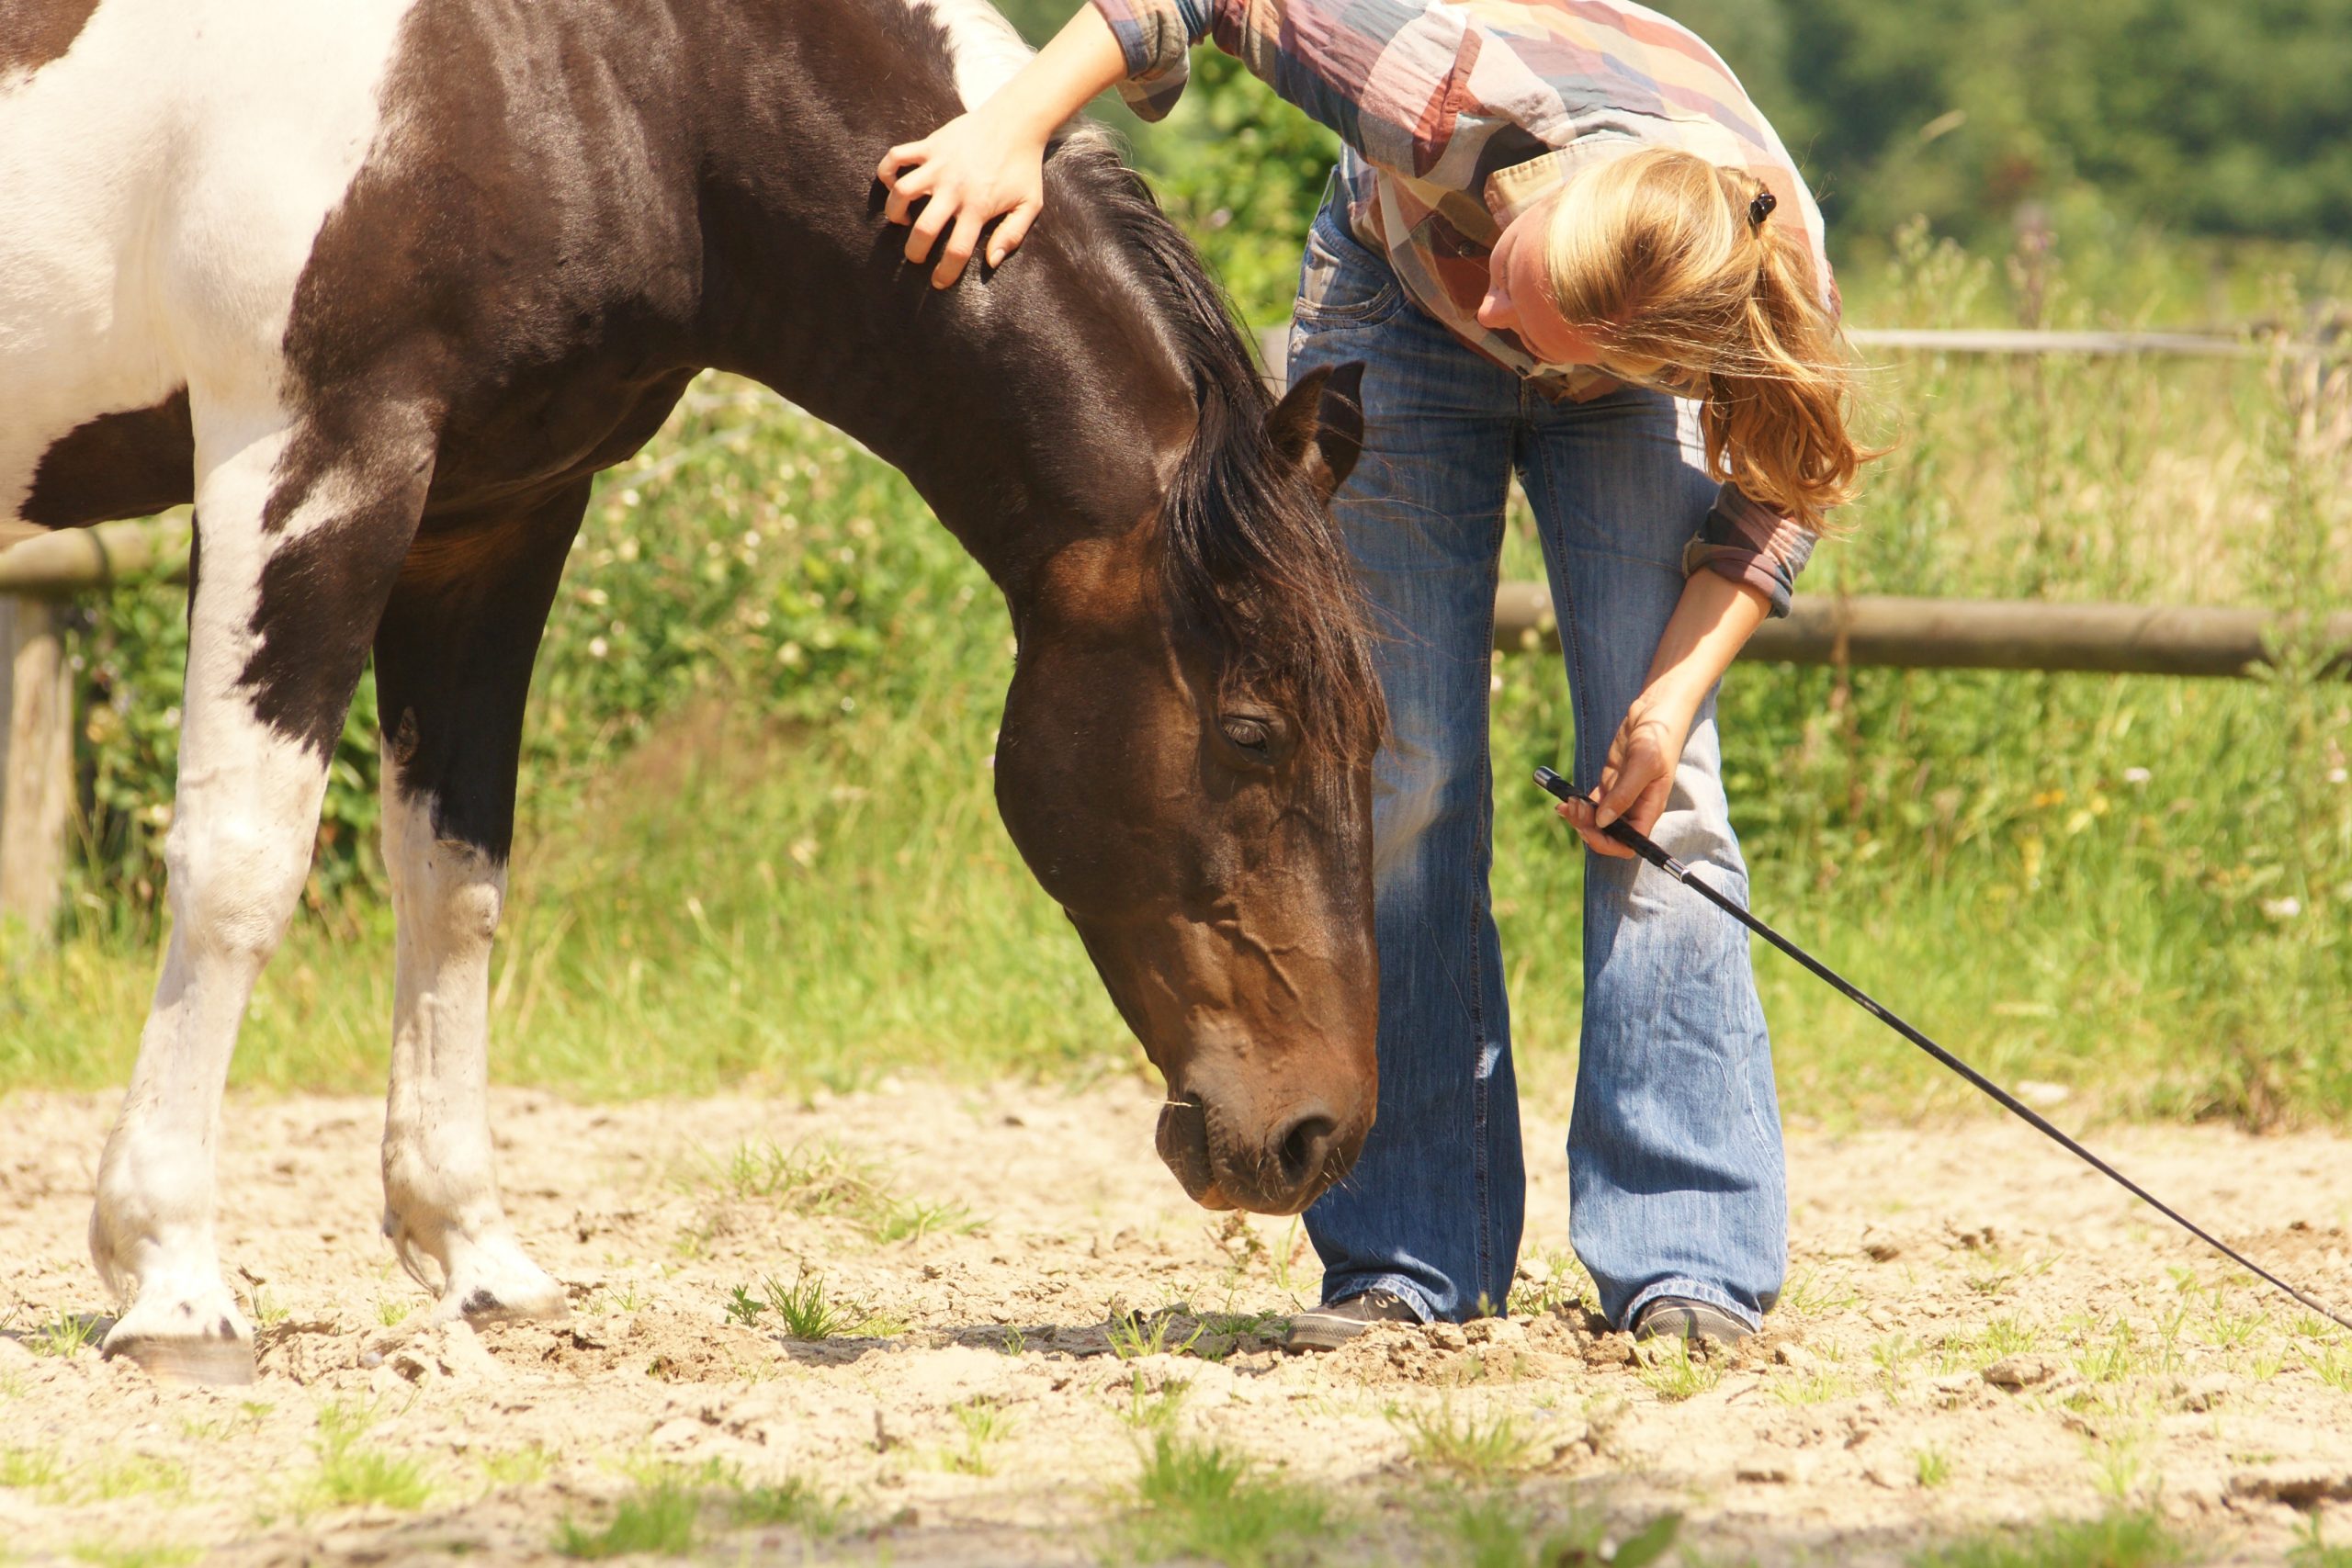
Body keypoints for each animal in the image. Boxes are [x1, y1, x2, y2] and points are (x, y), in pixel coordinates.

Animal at [1, 0, 1384, 1384]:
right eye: (1252, 731)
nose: (1318, 1135)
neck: (619, 80)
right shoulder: (305, 464)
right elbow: (240, 864)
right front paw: (174, 1284)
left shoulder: (494, 515)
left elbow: (455, 883)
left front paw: (477, 1260)